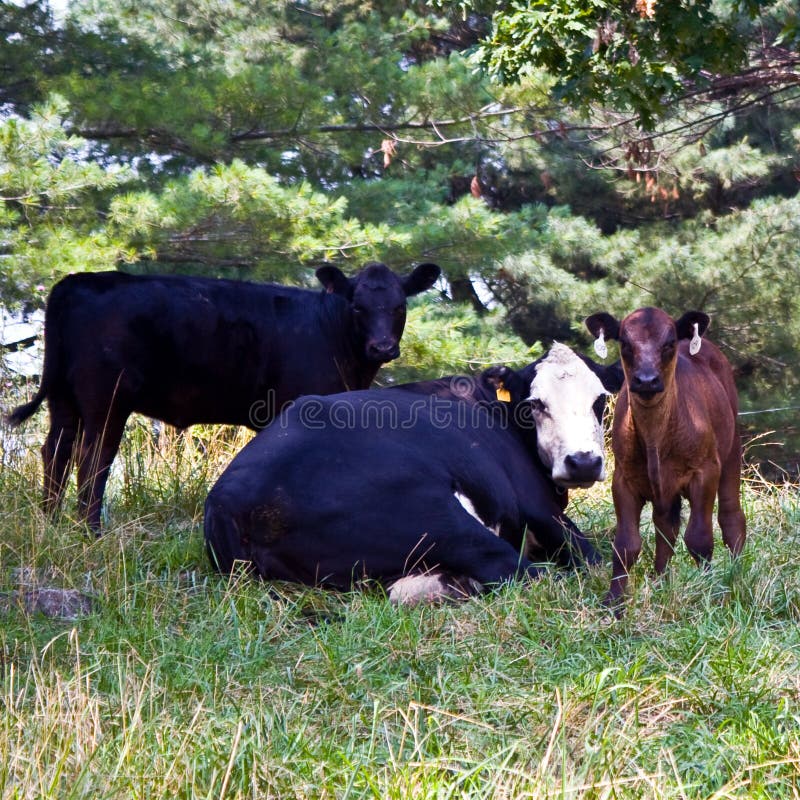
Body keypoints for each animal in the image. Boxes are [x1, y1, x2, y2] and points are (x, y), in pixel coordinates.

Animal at [6, 262, 440, 530]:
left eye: (399, 306)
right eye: (358, 306)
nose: (383, 347)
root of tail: (78, 281)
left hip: (63, 396)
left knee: (56, 450)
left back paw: (50, 522)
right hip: (106, 398)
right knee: (93, 457)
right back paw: (91, 531)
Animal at [204, 343, 624, 603]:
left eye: (600, 400)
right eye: (535, 403)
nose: (583, 461)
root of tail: (227, 497)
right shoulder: (540, 509)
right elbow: (592, 558)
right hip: (437, 515)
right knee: (521, 572)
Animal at [585, 307, 746, 614]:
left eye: (669, 343)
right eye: (625, 343)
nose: (646, 380)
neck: (655, 437)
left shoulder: (705, 471)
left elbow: (699, 538)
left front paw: (706, 591)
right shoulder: (623, 479)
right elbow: (625, 545)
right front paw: (614, 603)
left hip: (732, 451)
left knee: (731, 517)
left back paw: (736, 572)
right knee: (665, 529)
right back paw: (660, 580)